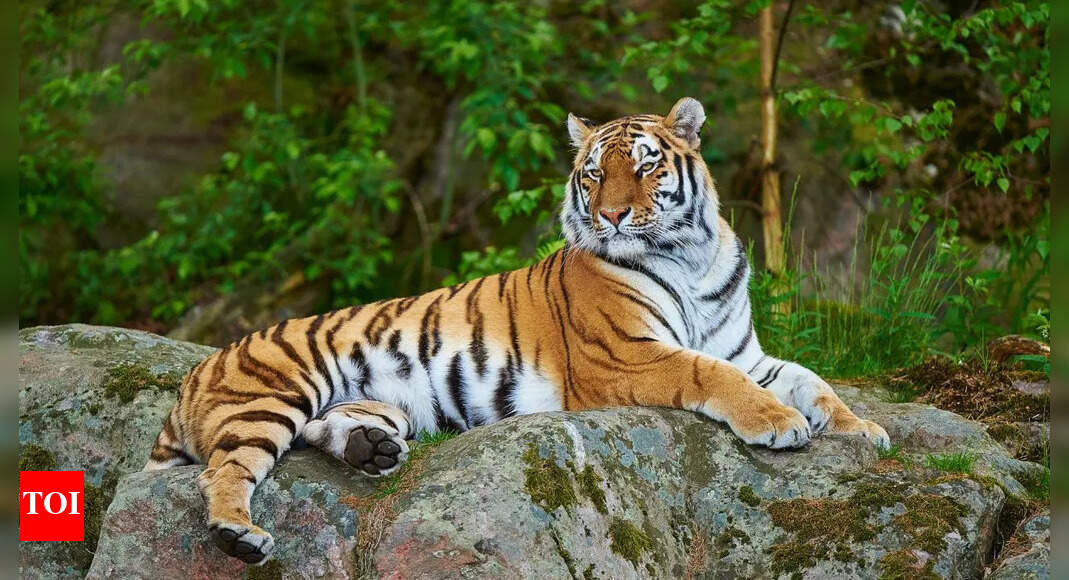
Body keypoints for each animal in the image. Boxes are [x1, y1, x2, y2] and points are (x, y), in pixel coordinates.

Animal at [145, 97, 889, 565]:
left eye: (645, 164)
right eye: (594, 173)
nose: (612, 215)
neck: (690, 254)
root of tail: (193, 375)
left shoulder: (745, 349)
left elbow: (810, 380)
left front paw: (861, 430)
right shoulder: (626, 357)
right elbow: (714, 375)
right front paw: (778, 423)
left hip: (376, 403)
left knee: (323, 431)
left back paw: (370, 452)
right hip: (271, 395)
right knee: (223, 469)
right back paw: (238, 535)